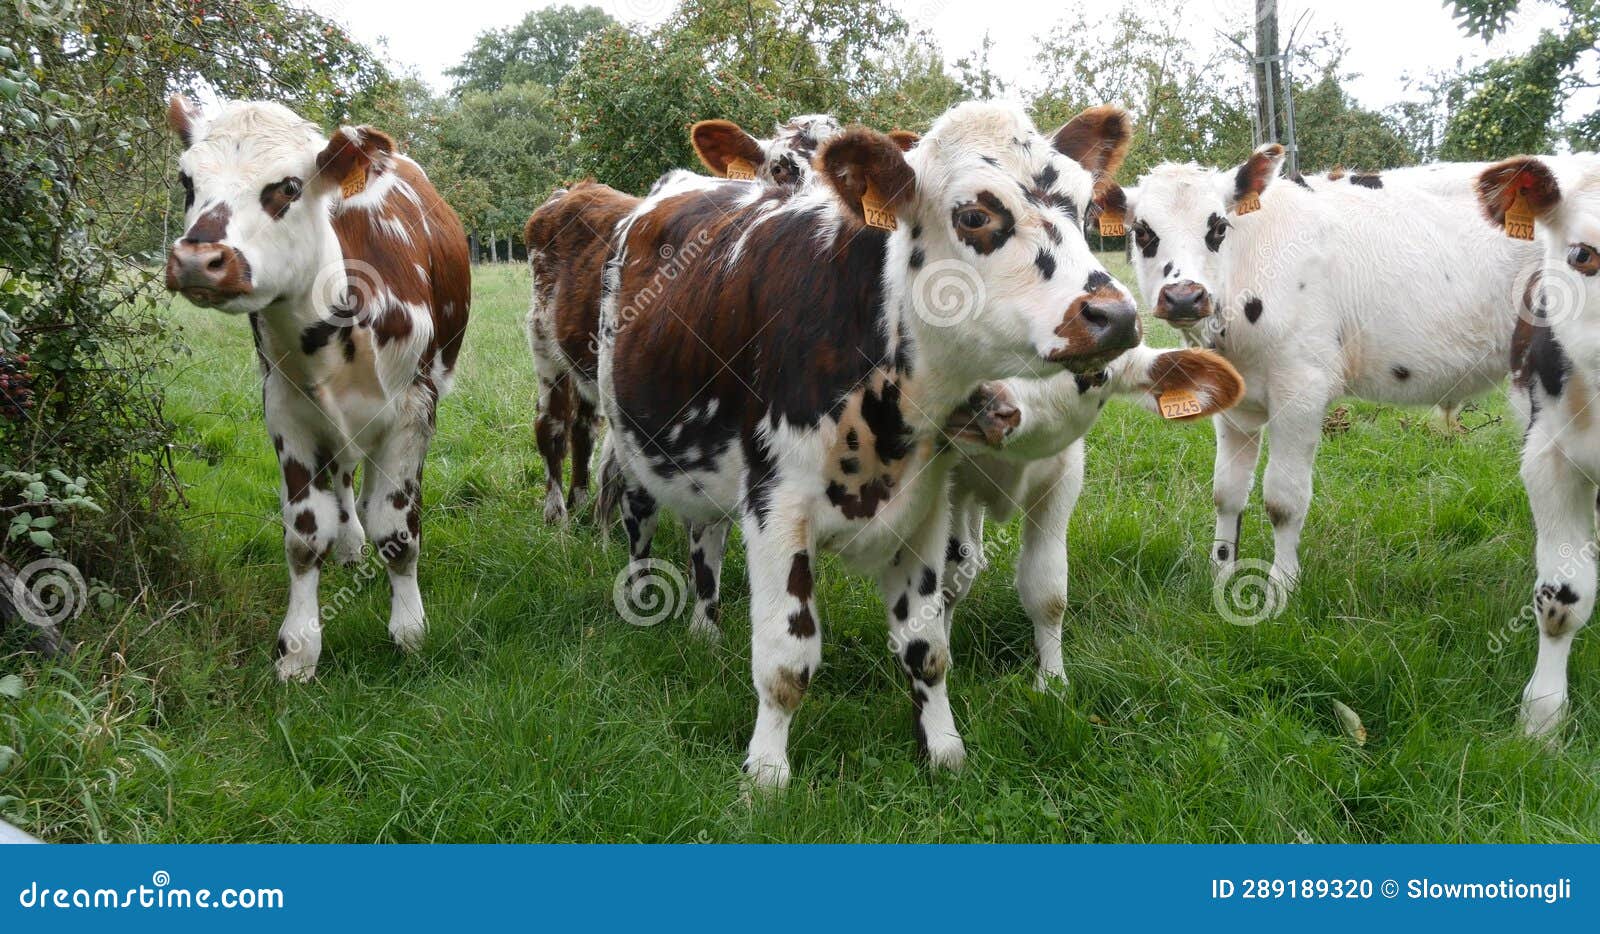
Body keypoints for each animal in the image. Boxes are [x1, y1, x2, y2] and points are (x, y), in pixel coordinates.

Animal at [163, 97, 470, 681]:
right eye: (187, 181)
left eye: (288, 186)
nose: (196, 260)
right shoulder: (286, 409)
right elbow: (305, 537)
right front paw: (299, 649)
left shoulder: (413, 409)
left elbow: (398, 530)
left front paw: (409, 631)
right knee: (347, 478)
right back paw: (350, 544)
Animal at [525, 116, 845, 525]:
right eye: (781, 169)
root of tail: (574, 189)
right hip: (543, 342)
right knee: (552, 426)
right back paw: (557, 514)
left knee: (584, 426)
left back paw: (580, 501)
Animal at [594, 101, 1152, 787]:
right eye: (975, 215)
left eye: (1083, 204)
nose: (1115, 315)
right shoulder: (775, 505)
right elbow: (785, 660)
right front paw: (767, 772)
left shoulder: (929, 506)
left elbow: (927, 646)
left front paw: (943, 749)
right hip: (633, 445)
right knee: (641, 522)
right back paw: (649, 598)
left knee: (706, 535)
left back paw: (705, 628)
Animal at [1116, 146, 1537, 611]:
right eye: (1142, 231)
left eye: (1219, 227)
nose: (1184, 296)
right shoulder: (1233, 403)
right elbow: (1226, 493)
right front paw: (1221, 576)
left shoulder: (1302, 386)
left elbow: (1283, 499)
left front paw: (1280, 590)